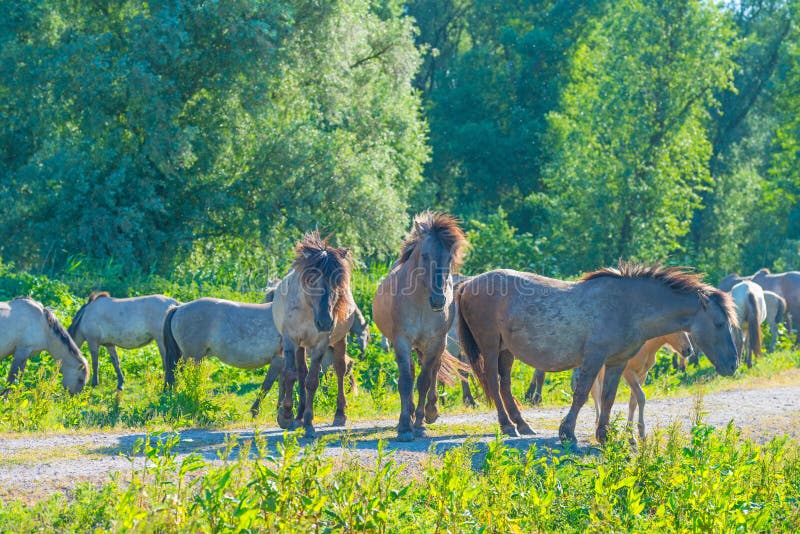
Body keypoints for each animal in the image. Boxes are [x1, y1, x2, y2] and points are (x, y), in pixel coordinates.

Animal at [271, 231, 356, 438]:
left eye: (338, 281)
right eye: (310, 280)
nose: (325, 322)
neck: (308, 309)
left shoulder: (320, 344)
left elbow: (312, 381)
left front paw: (309, 423)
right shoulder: (291, 340)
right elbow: (290, 375)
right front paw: (286, 415)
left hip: (339, 340)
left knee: (340, 369)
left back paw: (339, 414)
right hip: (301, 346)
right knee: (301, 372)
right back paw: (298, 416)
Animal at [373, 211, 469, 441]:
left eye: (449, 257)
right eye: (425, 255)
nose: (438, 300)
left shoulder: (434, 342)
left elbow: (425, 380)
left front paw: (420, 424)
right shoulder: (401, 341)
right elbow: (406, 381)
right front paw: (404, 426)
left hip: (435, 345)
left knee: (433, 370)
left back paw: (431, 411)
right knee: (410, 369)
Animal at [456, 263, 739, 445]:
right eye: (719, 324)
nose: (733, 364)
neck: (628, 306)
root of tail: (468, 283)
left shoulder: (617, 362)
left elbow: (609, 398)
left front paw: (604, 434)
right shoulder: (594, 359)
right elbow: (582, 394)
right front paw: (567, 432)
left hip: (506, 350)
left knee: (505, 385)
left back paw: (522, 425)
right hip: (490, 347)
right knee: (494, 384)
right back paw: (507, 426)